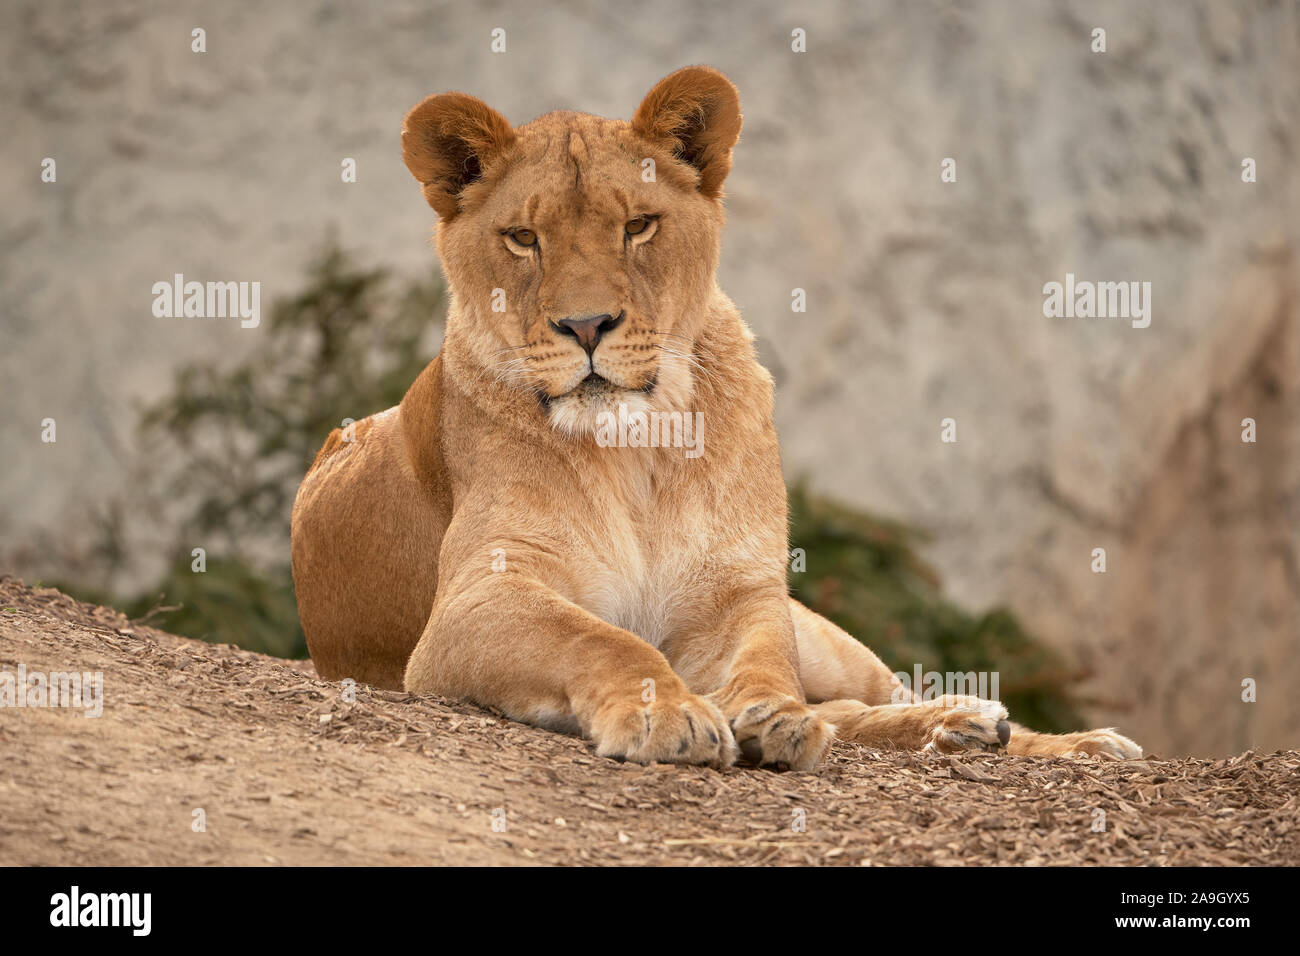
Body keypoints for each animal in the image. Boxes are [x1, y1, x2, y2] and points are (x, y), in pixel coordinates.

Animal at [290, 66, 1141, 770]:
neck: (639, 444)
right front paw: (670, 714)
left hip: (822, 632)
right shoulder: (477, 602)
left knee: (875, 693)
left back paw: (1037, 734)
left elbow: (765, 664)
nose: (587, 325)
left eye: (638, 225)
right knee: (851, 710)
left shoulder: (739, 590)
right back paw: (960, 729)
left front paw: (772, 717)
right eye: (523, 238)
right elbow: (604, 640)